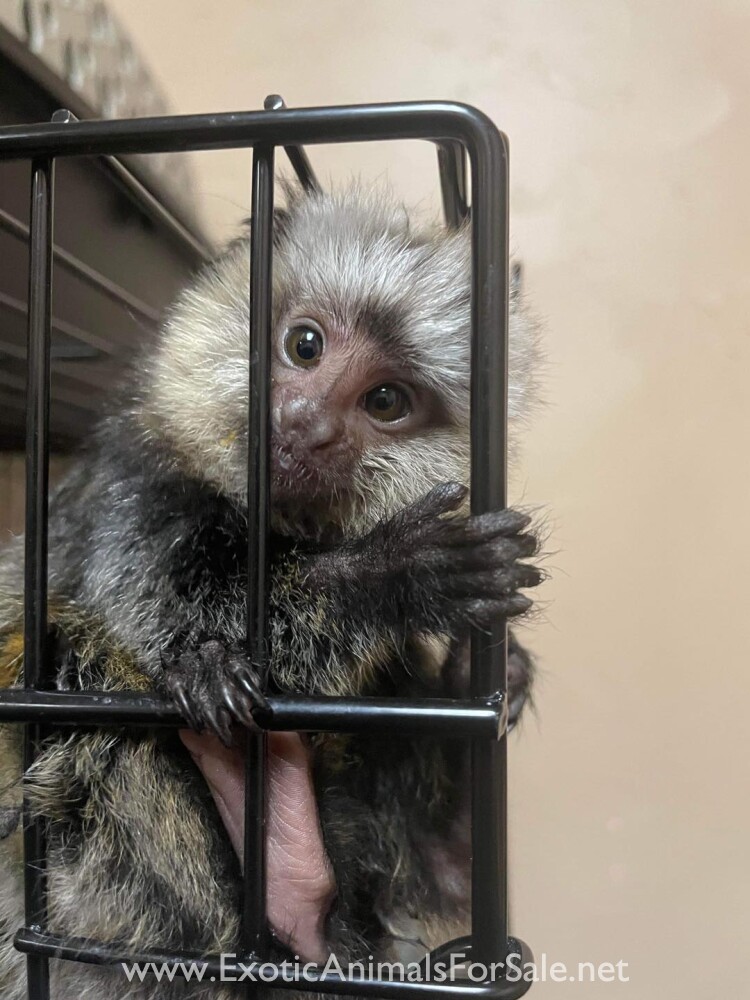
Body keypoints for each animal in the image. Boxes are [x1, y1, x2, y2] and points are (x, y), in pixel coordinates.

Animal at [0, 182, 543, 999]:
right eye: (305, 345)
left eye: (386, 400)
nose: (305, 422)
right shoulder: (132, 488)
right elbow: (155, 607)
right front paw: (395, 576)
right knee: (69, 653)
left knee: (428, 866)